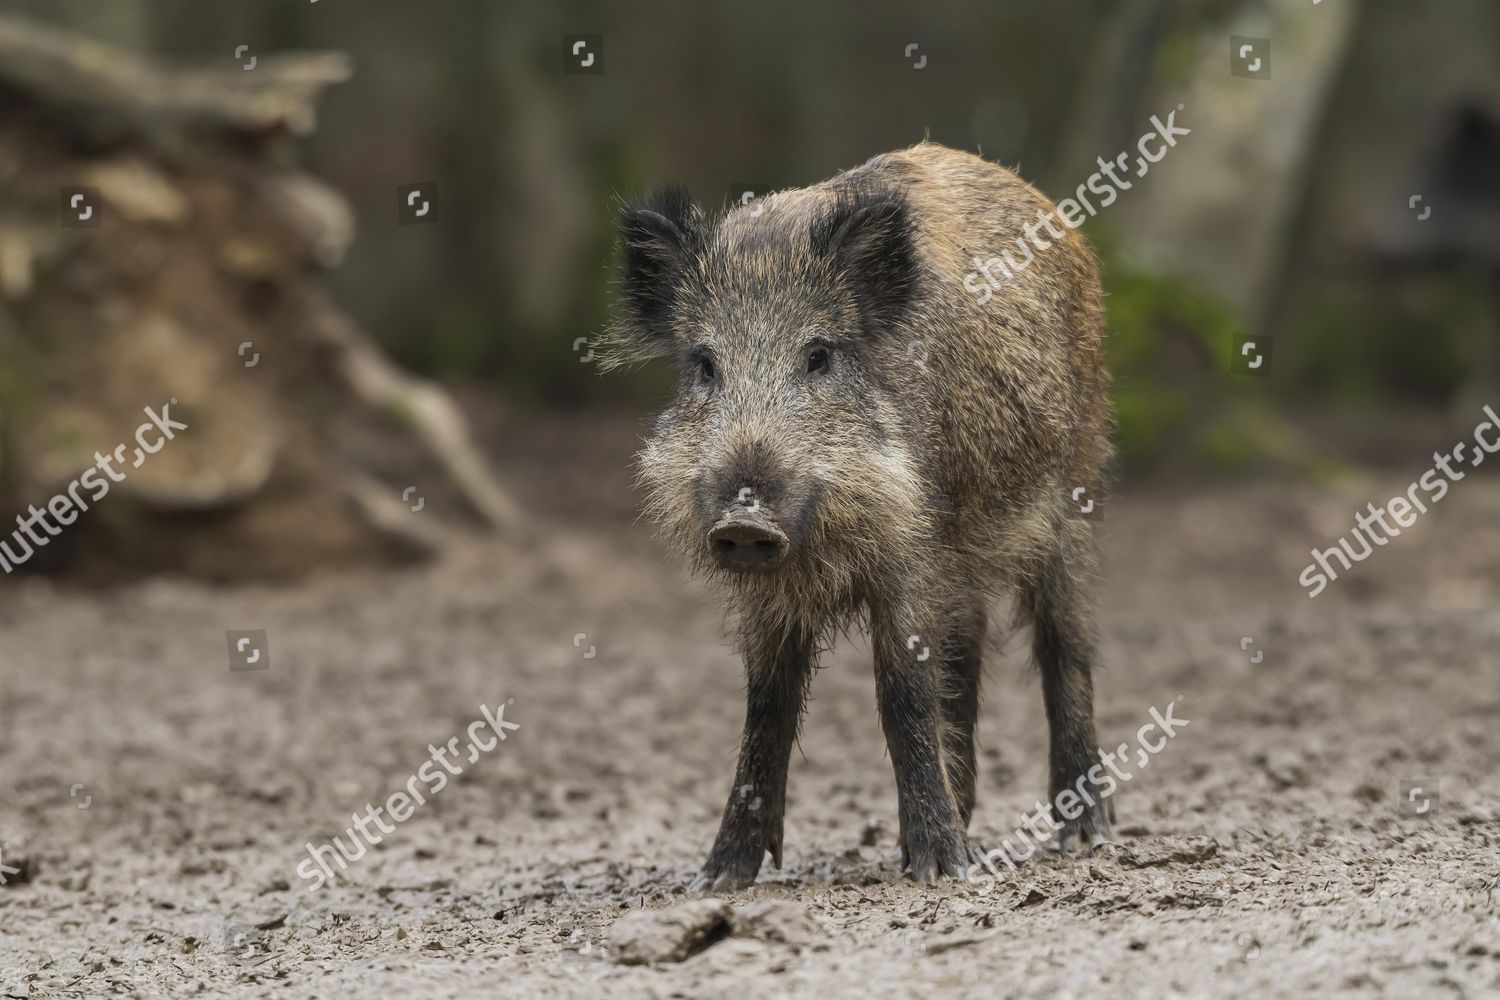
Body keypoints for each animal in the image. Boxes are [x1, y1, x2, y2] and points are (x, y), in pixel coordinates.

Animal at [605, 142, 1114, 888]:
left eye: (818, 355)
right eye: (704, 365)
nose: (745, 520)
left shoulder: (913, 553)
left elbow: (902, 694)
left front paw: (939, 871)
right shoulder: (768, 594)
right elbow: (766, 706)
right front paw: (718, 877)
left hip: (1075, 492)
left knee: (1065, 647)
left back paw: (1087, 833)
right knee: (966, 659)